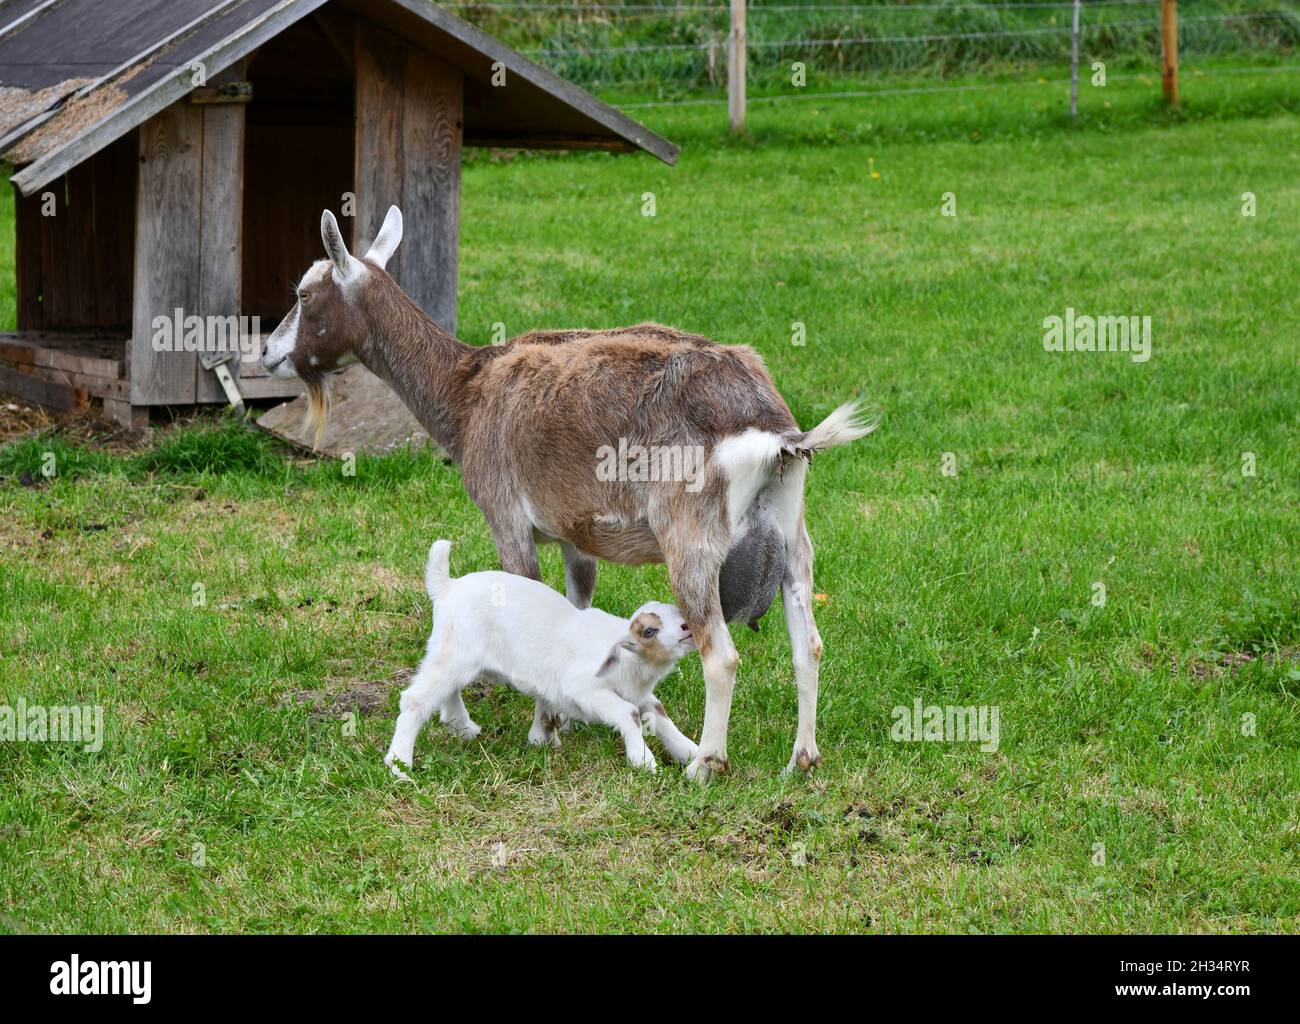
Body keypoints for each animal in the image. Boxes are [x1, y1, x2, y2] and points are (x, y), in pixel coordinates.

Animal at [384, 540, 700, 778]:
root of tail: (446, 586)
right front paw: (644, 761)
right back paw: (400, 765)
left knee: (448, 690)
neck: (631, 662)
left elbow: (658, 712)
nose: (687, 627)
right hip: (455, 652)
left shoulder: (635, 691)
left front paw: (690, 752)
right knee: (415, 699)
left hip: (455, 655)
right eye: (649, 631)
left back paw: (462, 728)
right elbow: (629, 713)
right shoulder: (584, 688)